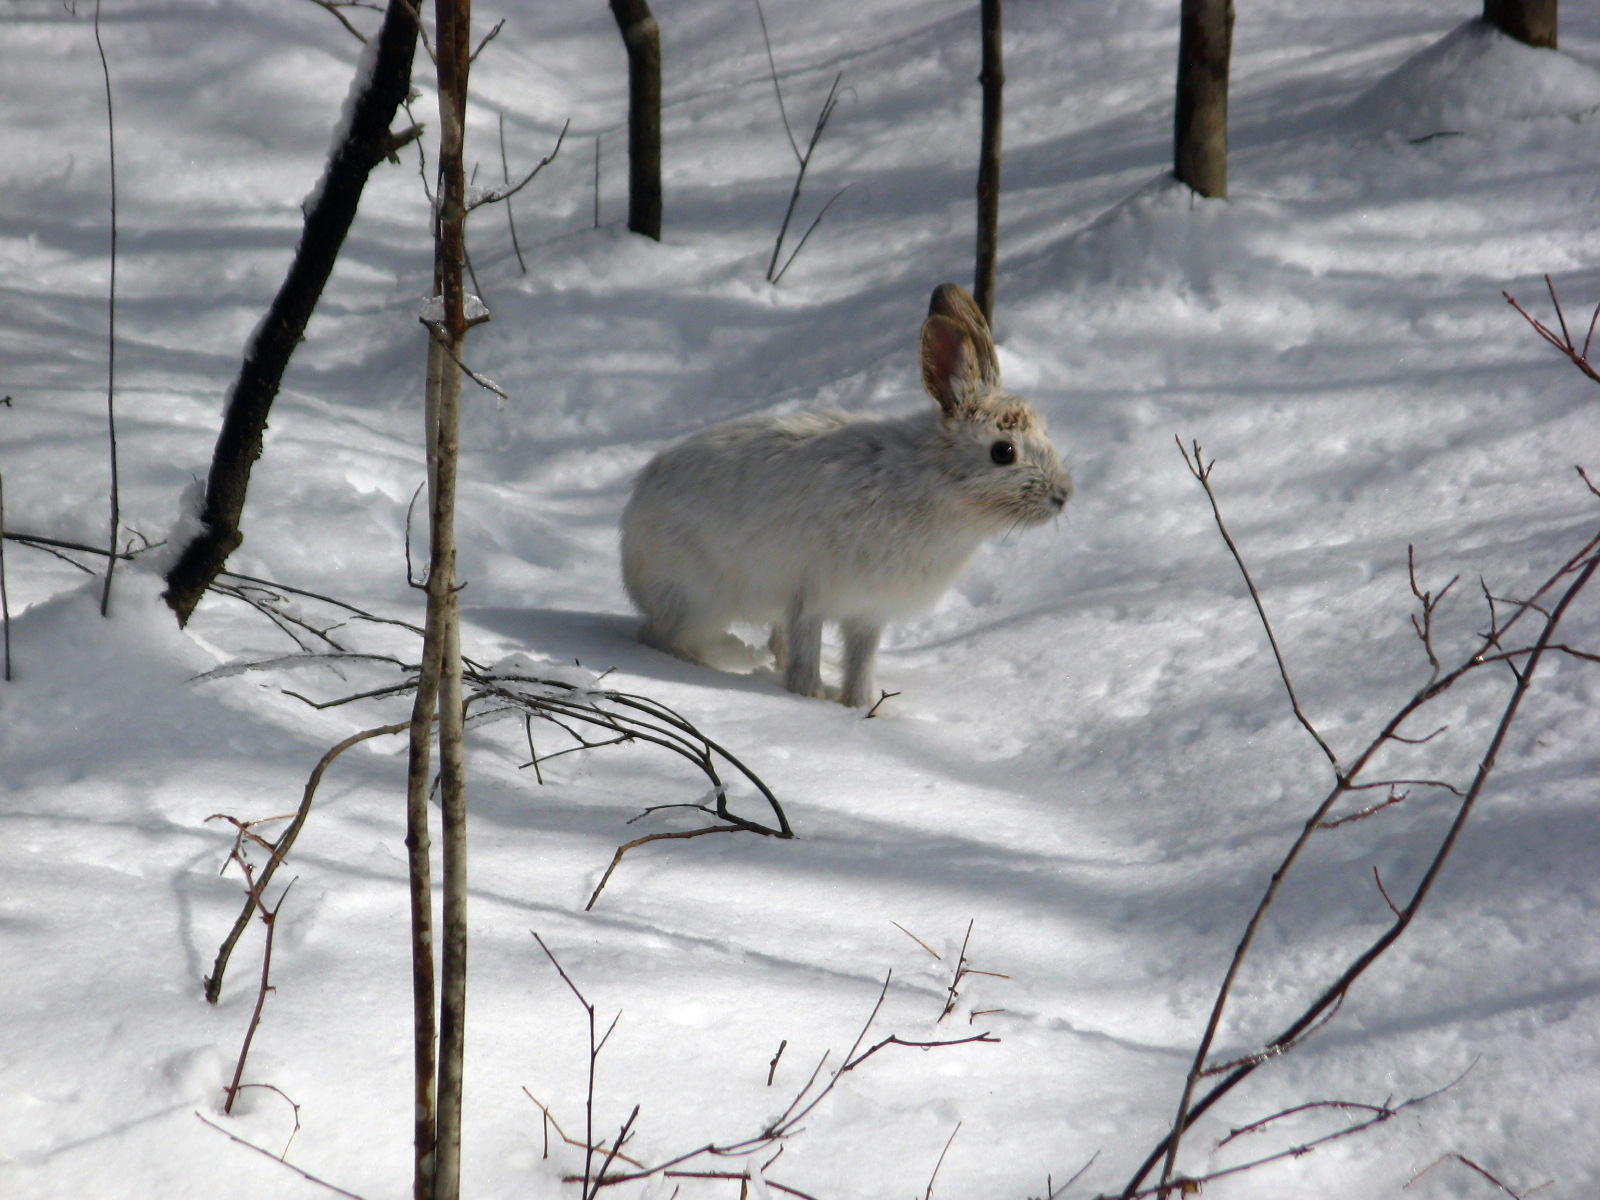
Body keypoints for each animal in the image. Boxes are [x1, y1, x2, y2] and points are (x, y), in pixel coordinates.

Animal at [620, 282, 1073, 707]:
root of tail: (631, 532)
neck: (935, 482)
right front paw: (810, 698)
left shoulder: (867, 614)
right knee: (659, 636)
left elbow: (861, 661)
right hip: (698, 598)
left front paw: (859, 705)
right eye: (1003, 452)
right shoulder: (811, 597)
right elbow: (807, 655)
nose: (1063, 495)